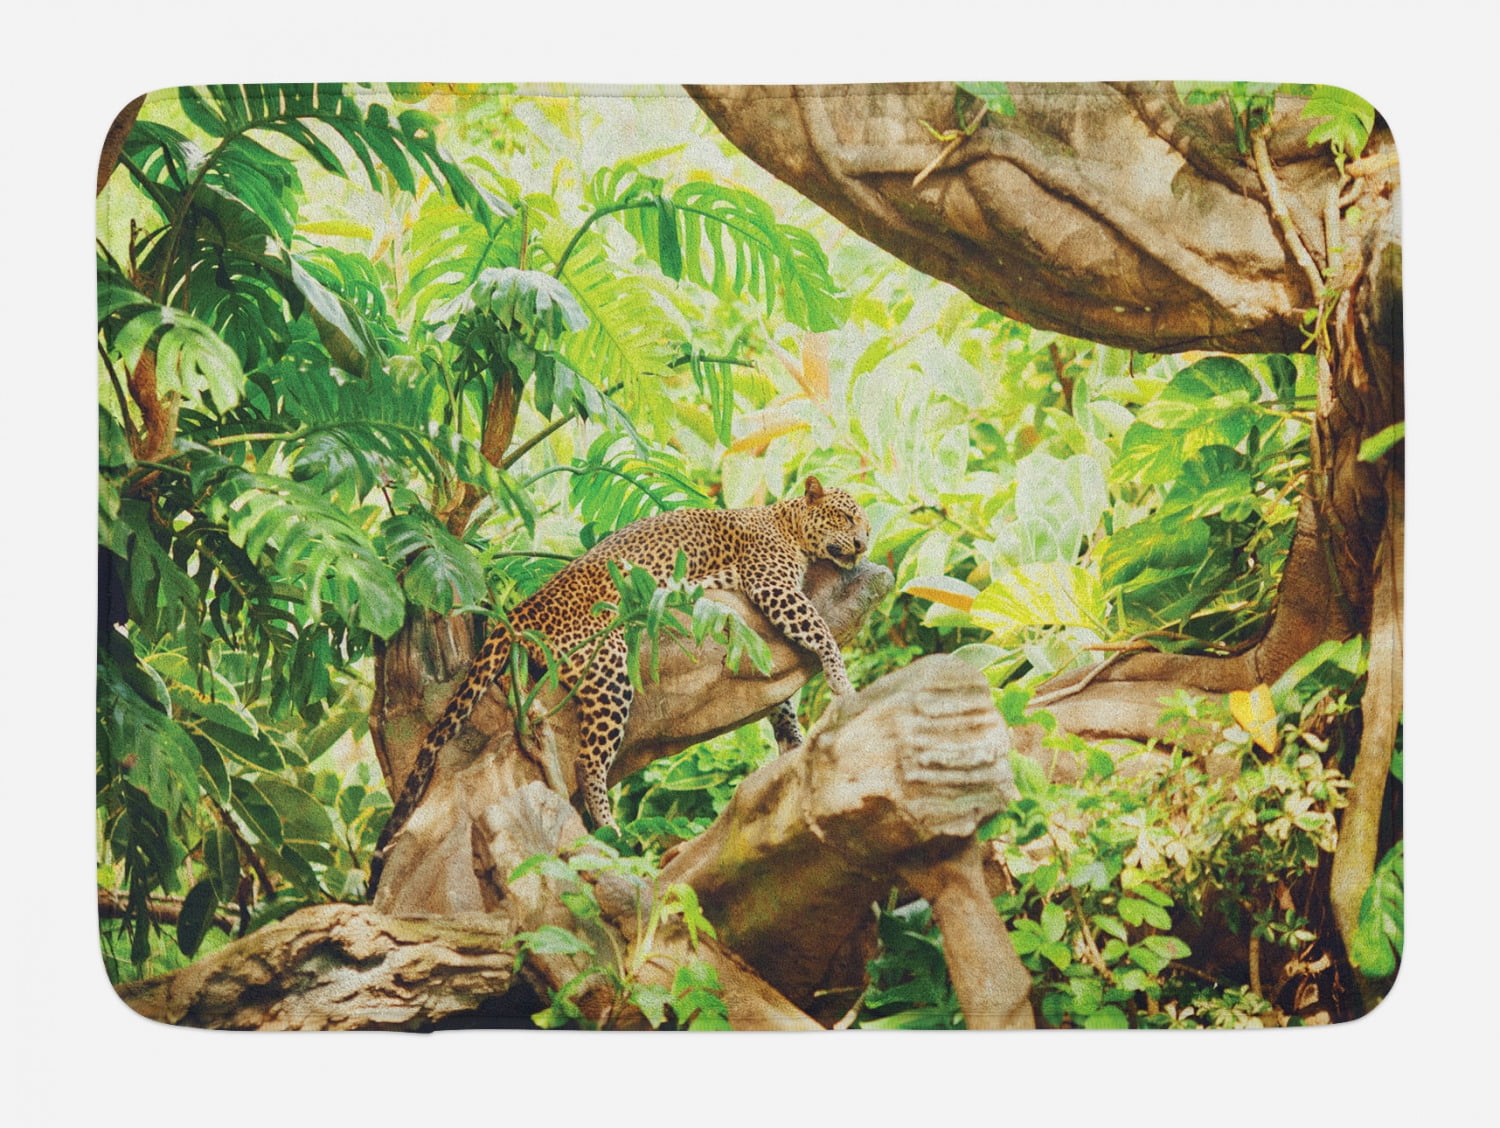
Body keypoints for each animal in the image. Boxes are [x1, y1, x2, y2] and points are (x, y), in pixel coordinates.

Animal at [367, 475, 870, 896]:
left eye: (864, 523)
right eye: (848, 517)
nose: (865, 543)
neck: (786, 521)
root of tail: (520, 609)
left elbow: (780, 702)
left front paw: (793, 741)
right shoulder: (772, 587)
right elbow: (821, 633)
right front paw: (843, 685)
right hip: (608, 663)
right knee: (588, 758)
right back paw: (610, 832)